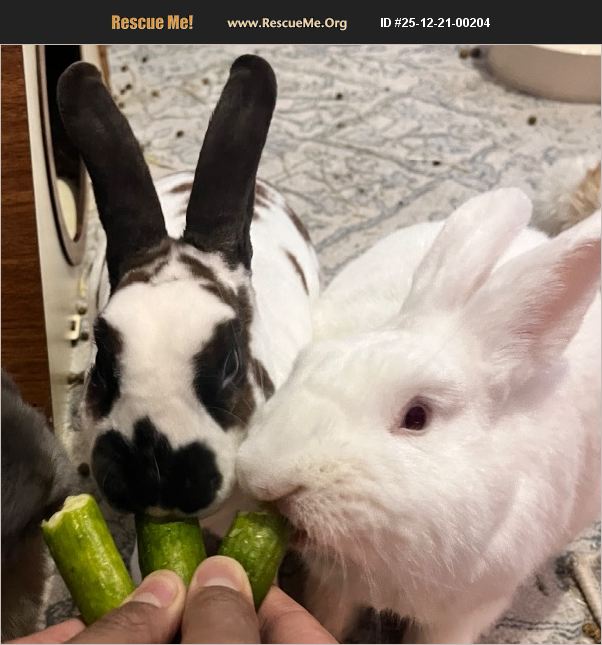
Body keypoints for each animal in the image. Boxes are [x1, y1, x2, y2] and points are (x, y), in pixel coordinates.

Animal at [237, 187, 601, 643]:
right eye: (308, 361)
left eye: (417, 417)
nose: (265, 480)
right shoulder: (332, 586)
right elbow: (328, 618)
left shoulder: (466, 612)